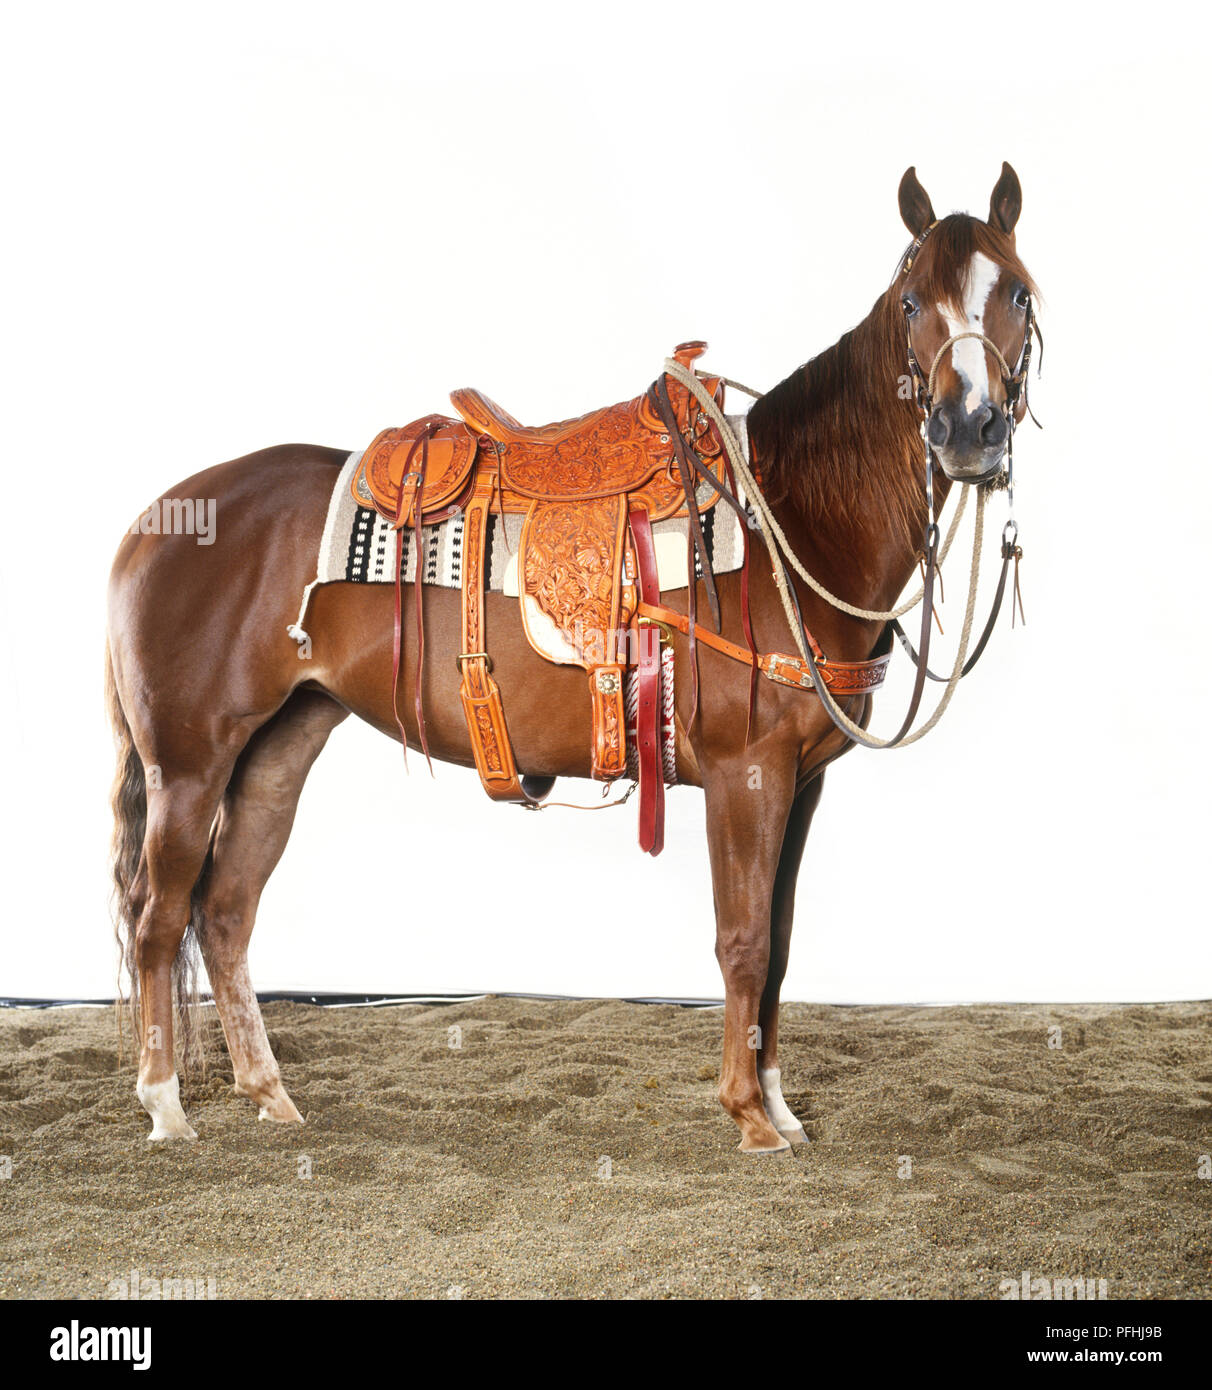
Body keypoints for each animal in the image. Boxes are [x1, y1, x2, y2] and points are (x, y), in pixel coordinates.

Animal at [106, 163, 1038, 1152]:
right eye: (910, 302)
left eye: (1017, 291)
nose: (969, 428)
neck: (789, 519)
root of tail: (158, 518)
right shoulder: (747, 775)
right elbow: (744, 941)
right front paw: (749, 1116)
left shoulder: (802, 781)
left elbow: (781, 946)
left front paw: (782, 1106)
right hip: (187, 764)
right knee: (159, 918)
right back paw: (166, 1104)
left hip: (279, 748)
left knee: (226, 910)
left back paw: (269, 1093)